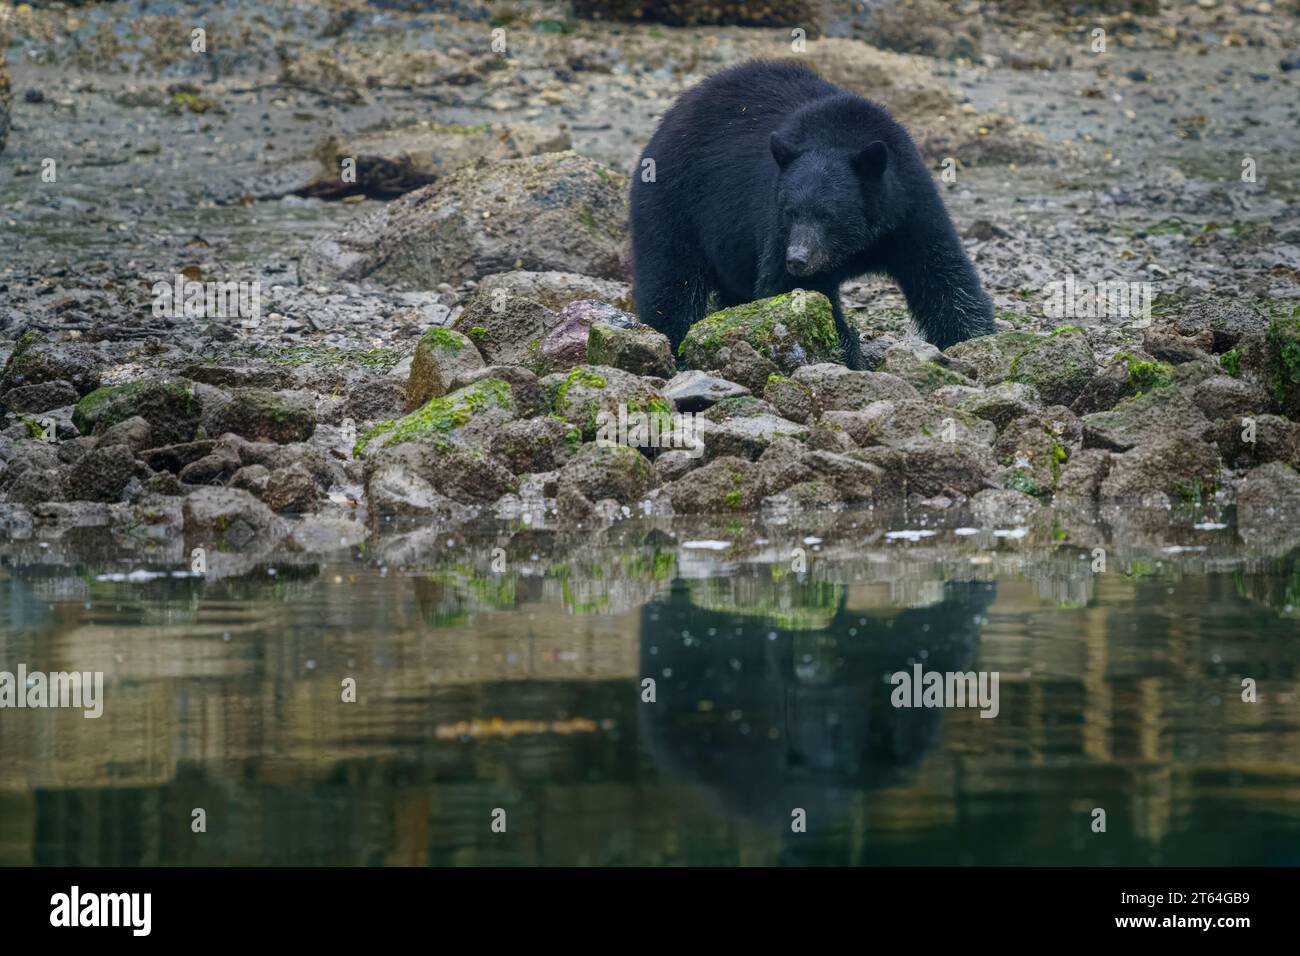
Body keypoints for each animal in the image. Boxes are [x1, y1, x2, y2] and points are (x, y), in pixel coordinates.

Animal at [630, 60, 995, 370]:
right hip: (676, 203)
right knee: (672, 281)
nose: (798, 259)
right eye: (791, 212)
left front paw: (972, 340)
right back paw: (675, 345)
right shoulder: (775, 224)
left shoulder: (908, 204)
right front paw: (844, 353)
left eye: (828, 214)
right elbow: (793, 293)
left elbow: (942, 275)